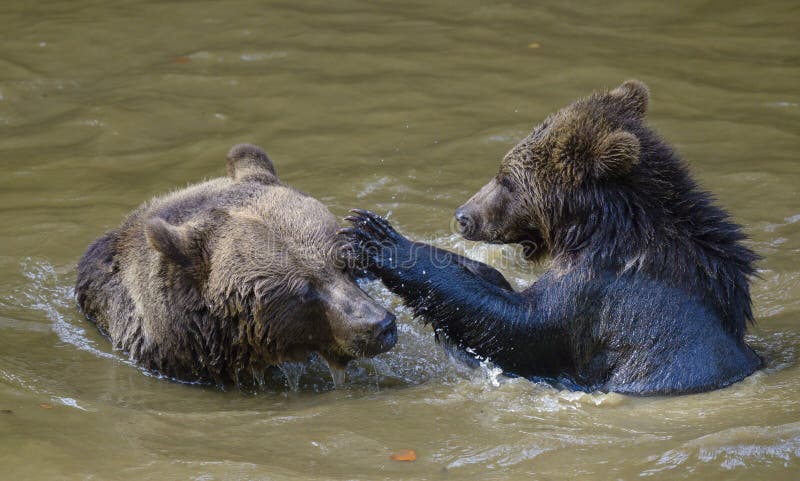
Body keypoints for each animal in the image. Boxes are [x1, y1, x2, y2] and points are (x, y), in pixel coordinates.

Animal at [341, 80, 761, 395]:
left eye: (507, 180)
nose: (464, 216)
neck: (598, 228)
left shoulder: (604, 292)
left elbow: (524, 326)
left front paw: (375, 235)